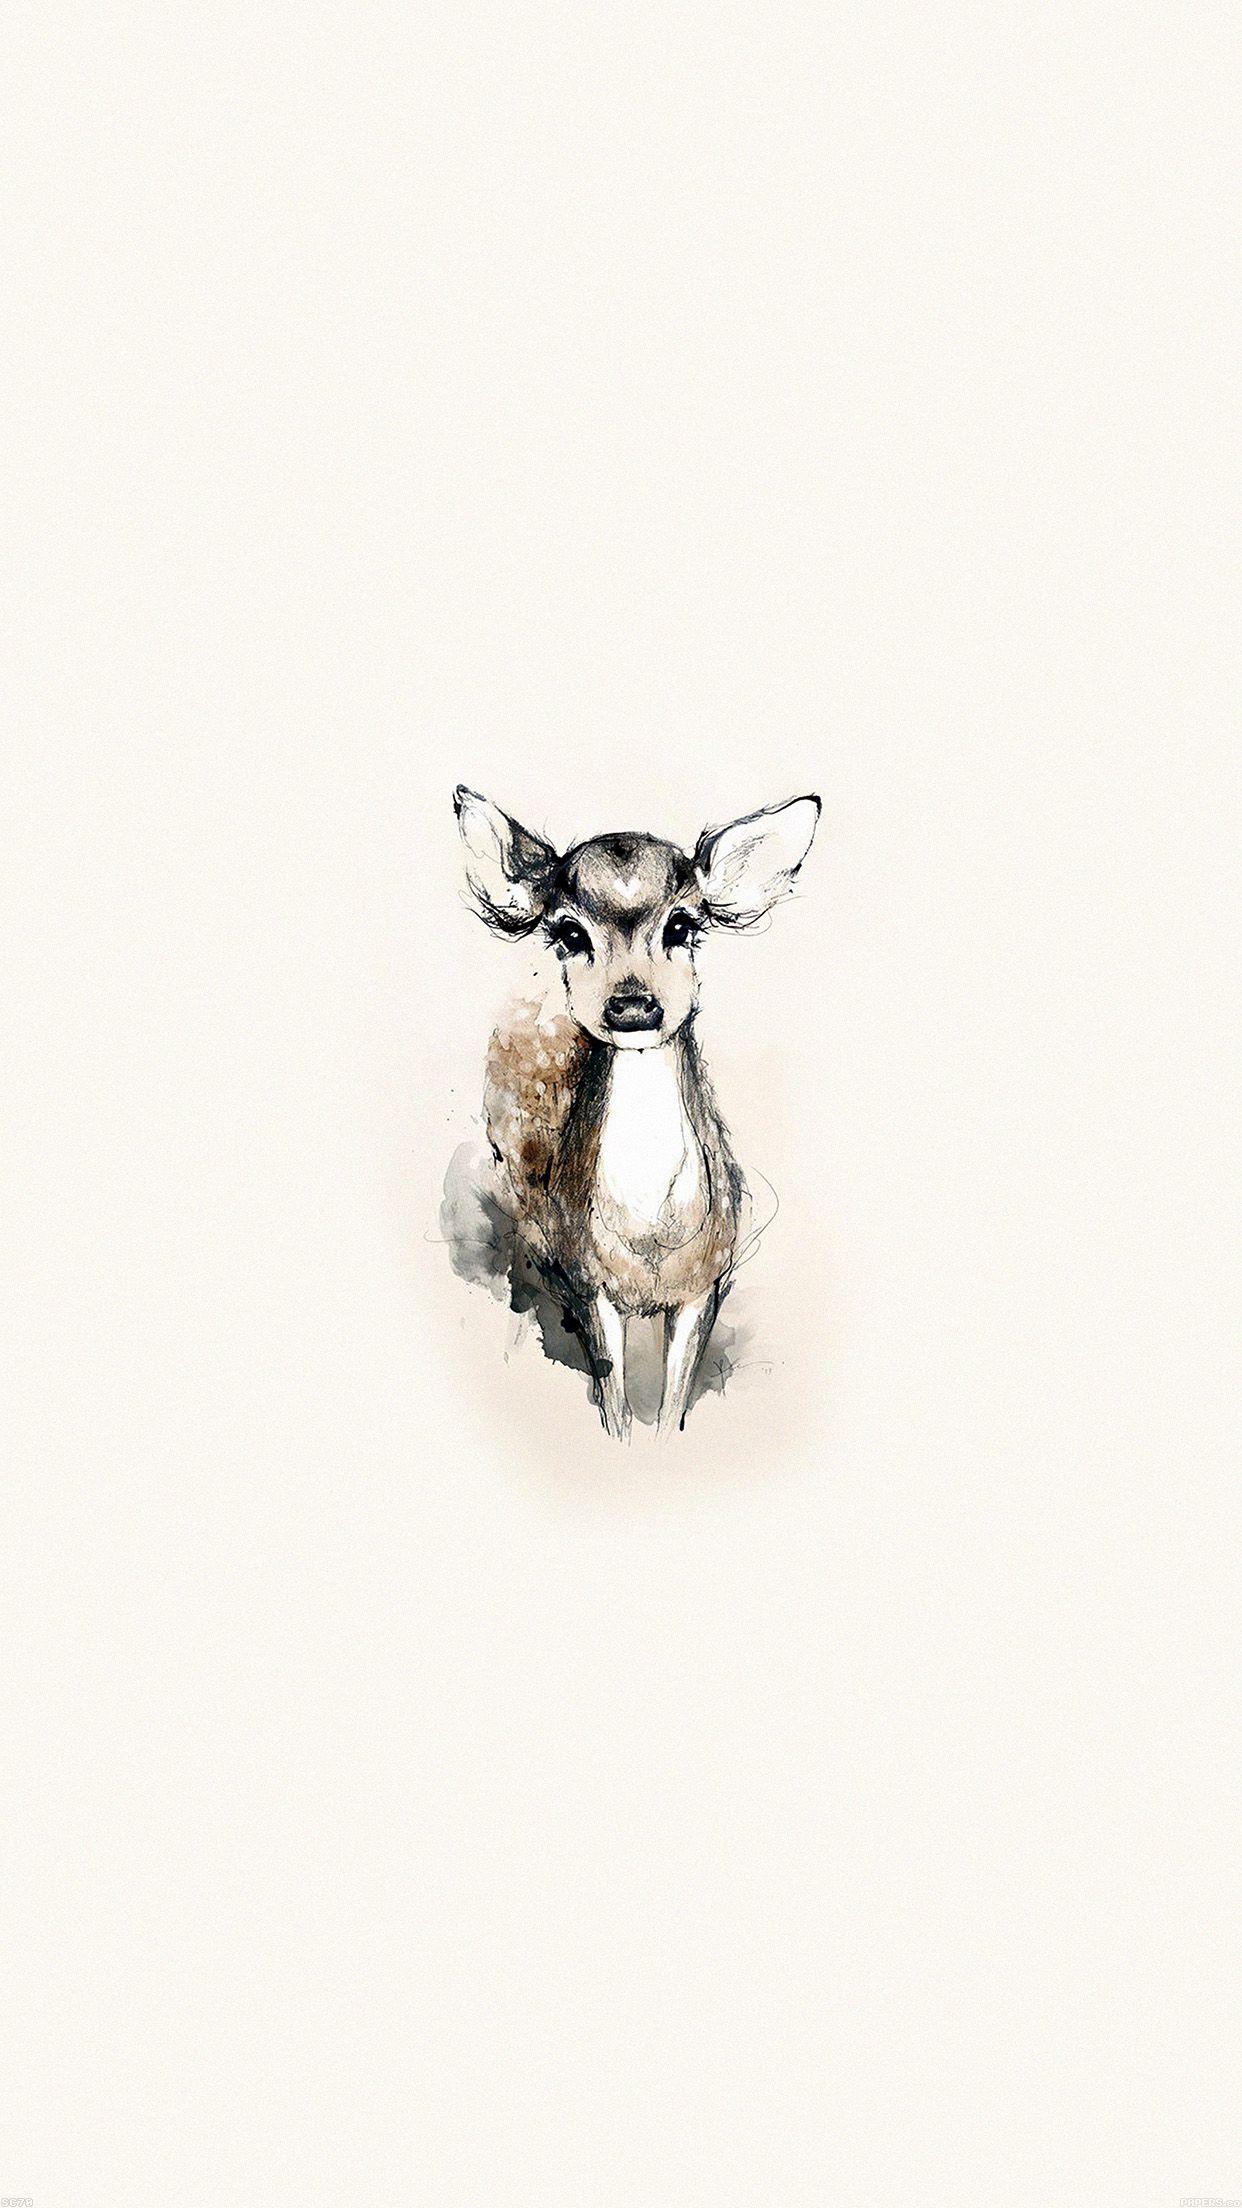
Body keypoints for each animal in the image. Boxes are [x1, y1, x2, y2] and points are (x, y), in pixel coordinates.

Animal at [453, 786, 821, 1437]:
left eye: (683, 923)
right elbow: (615, 1404)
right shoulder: (590, 1283)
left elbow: (673, 1404)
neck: (650, 1237)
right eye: (569, 932)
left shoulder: (706, 1283)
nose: (632, 1006)